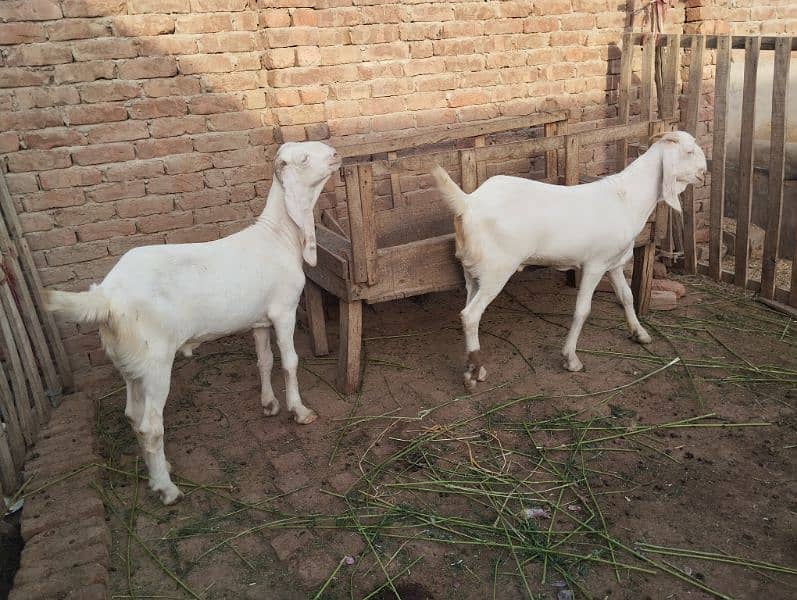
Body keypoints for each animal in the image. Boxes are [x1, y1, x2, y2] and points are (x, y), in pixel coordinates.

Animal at [45, 141, 341, 504]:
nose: (335, 153)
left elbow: (264, 361)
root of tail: (107, 296)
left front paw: (269, 404)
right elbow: (289, 362)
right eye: (302, 158)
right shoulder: (284, 310)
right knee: (151, 426)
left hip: (131, 364)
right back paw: (167, 489)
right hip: (156, 363)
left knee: (133, 415)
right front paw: (299, 411)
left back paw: (160, 469)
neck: (278, 236)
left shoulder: (258, 320)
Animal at [432, 130, 707, 390]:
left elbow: (626, 296)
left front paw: (639, 333)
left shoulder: (614, 263)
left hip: (473, 271)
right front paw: (571, 358)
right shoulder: (595, 264)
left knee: (467, 311)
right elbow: (582, 310)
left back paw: (474, 368)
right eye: (689, 151)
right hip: (496, 270)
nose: (705, 172)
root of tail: (468, 203)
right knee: (471, 315)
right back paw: (473, 374)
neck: (626, 198)